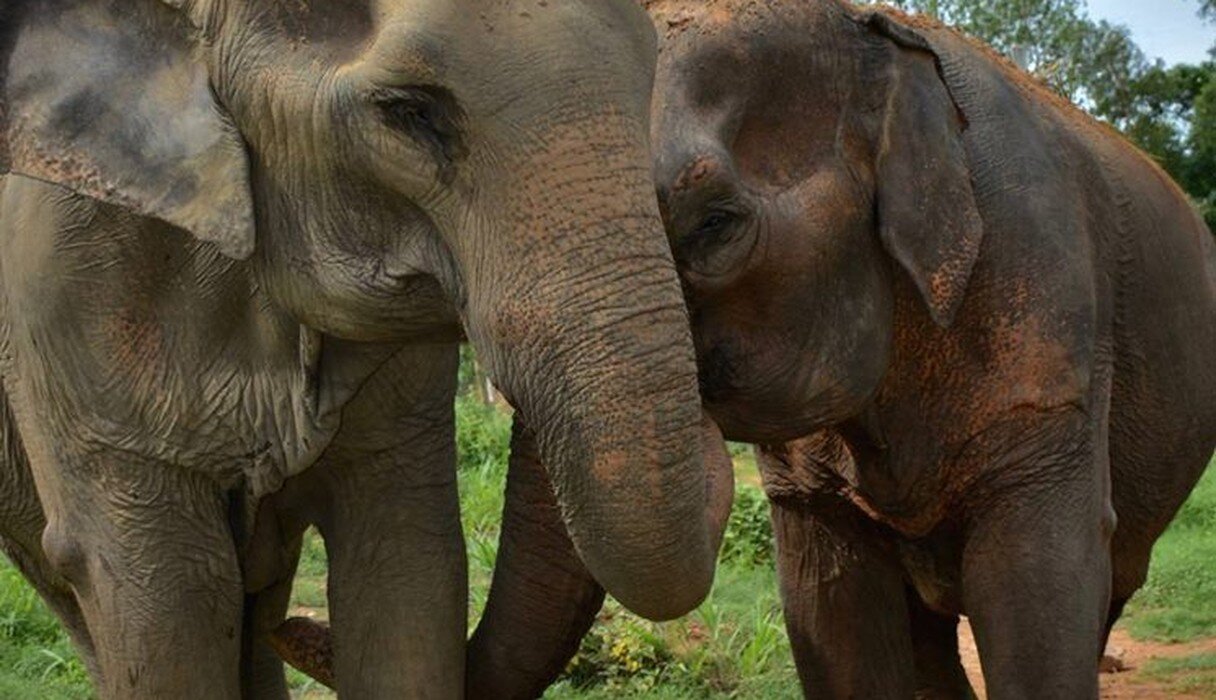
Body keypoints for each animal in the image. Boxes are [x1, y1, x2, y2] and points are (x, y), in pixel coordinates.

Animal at [282, 0, 1216, 698]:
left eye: (714, 226)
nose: (296, 625)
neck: (874, 36)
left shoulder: (1045, 316)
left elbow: (1041, 600)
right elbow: (833, 619)